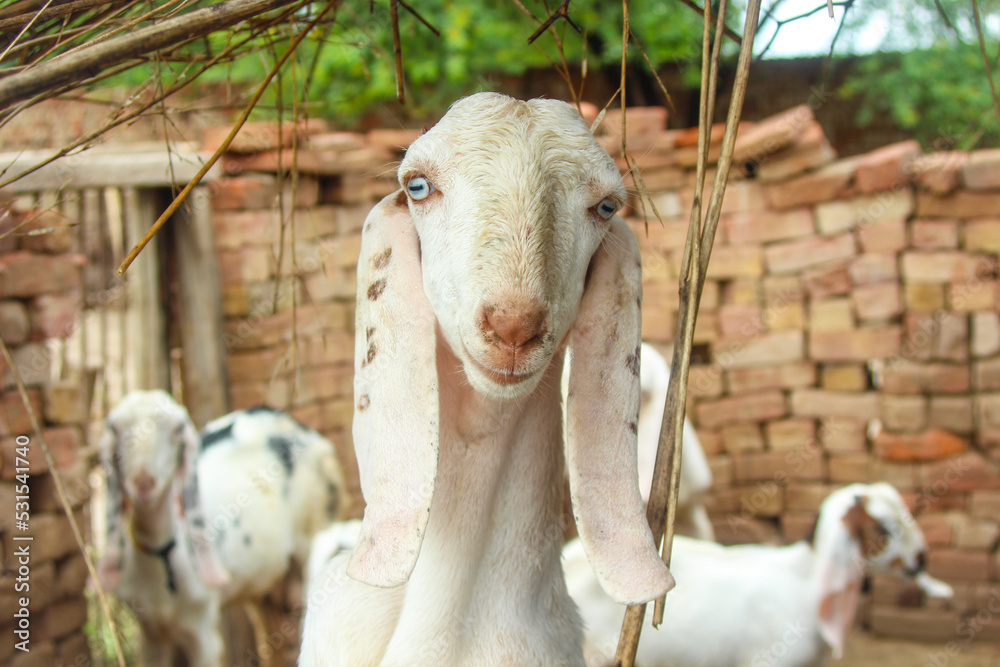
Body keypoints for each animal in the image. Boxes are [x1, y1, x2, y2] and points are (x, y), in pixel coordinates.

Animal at [97, 391, 348, 667]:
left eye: (177, 430)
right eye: (115, 429)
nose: (143, 483)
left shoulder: (203, 630)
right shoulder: (150, 633)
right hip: (263, 583)